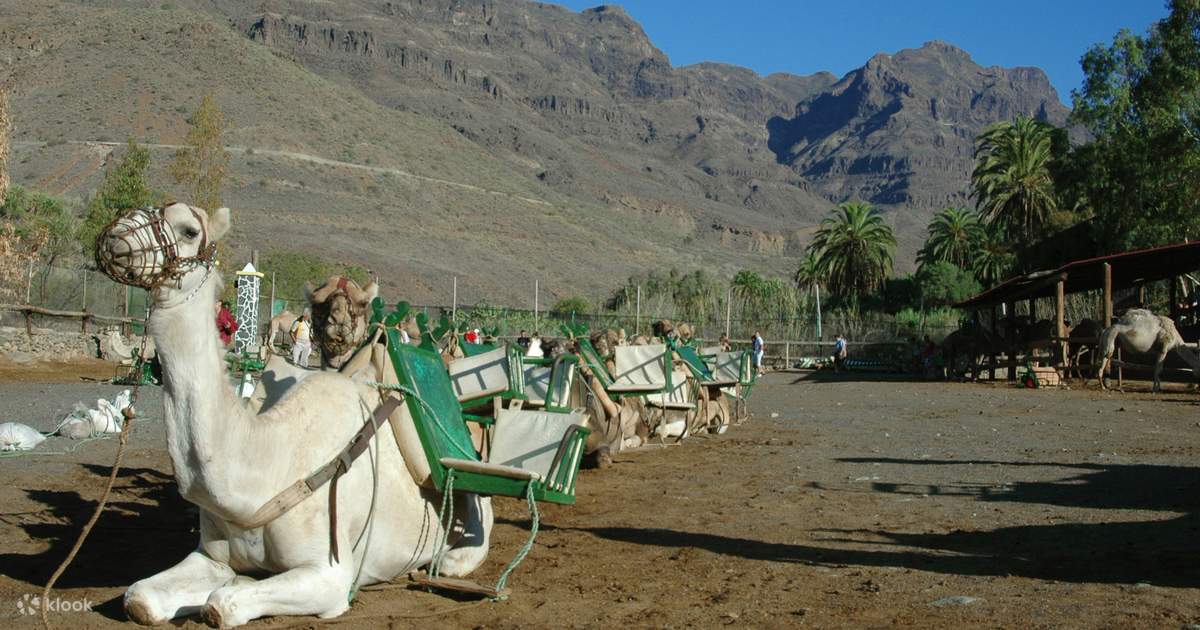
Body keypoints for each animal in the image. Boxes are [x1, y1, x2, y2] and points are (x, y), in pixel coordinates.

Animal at [98, 204, 492, 627]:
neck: (266, 472)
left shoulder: (329, 572)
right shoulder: (210, 555)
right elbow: (139, 597)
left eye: (188, 229)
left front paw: (231, 589)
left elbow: (222, 604)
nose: (116, 237)